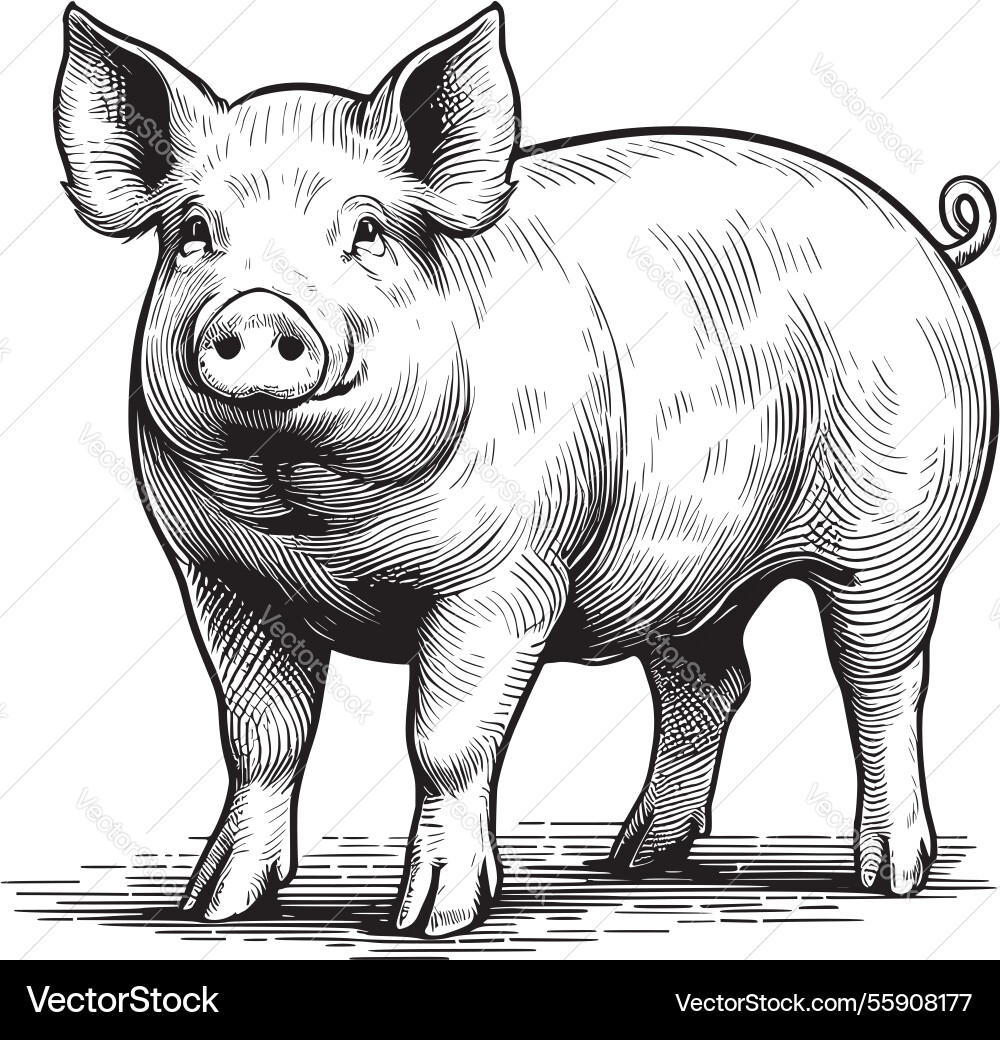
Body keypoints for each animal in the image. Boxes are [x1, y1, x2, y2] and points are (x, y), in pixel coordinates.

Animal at [55, 2, 995, 936]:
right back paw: (633, 859)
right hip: (686, 572)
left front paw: (429, 922)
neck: (312, 508)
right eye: (193, 234)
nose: (256, 315)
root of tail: (928, 242)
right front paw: (213, 907)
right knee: (714, 682)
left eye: (366, 232)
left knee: (884, 685)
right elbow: (261, 741)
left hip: (896, 535)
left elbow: (444, 741)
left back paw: (889, 878)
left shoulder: (504, 575)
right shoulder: (223, 577)